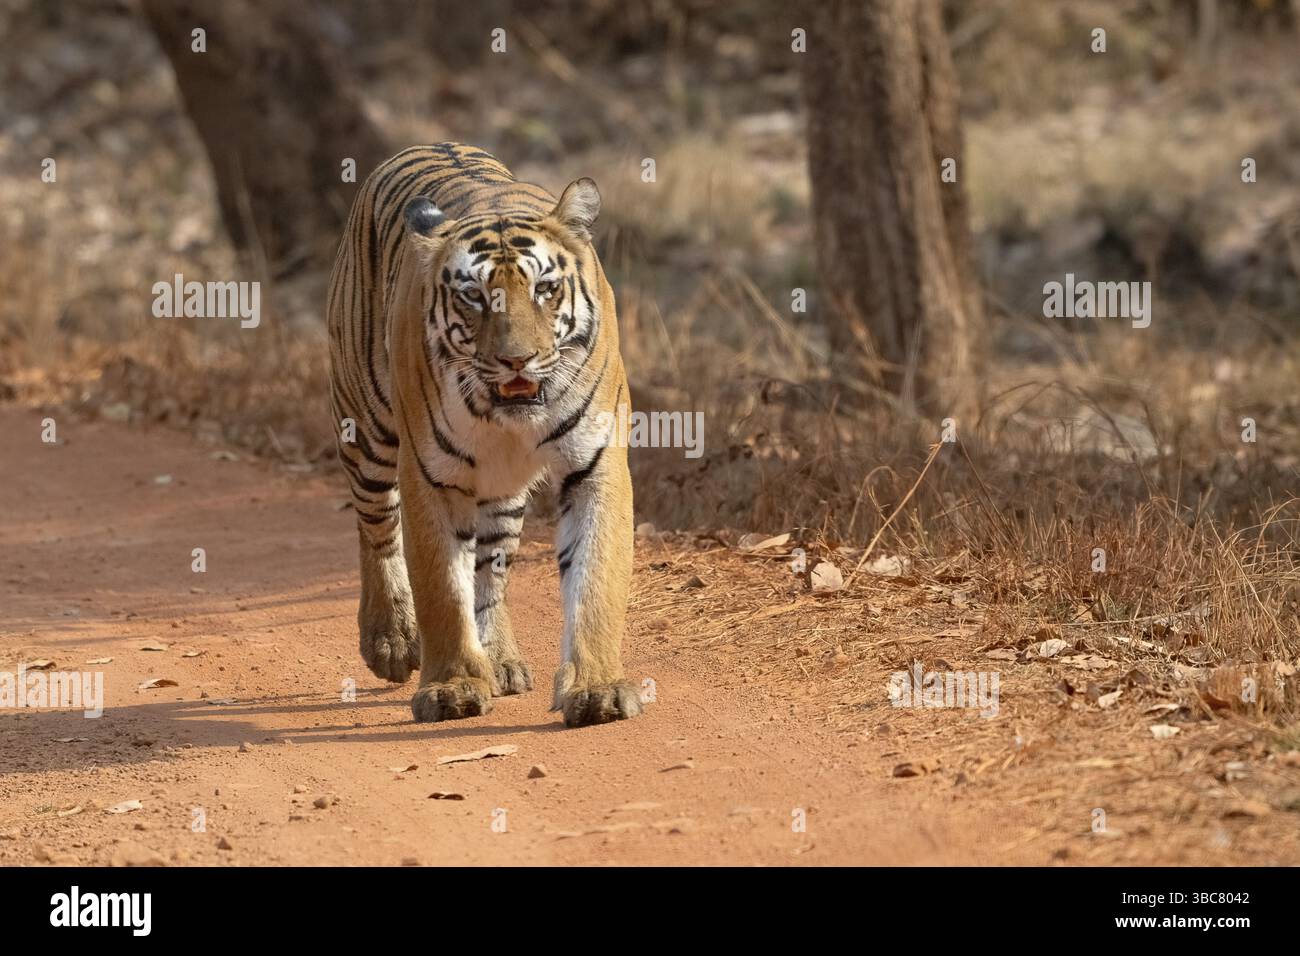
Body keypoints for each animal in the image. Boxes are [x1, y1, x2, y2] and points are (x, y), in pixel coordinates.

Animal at [326, 143, 642, 728]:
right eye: (473, 296)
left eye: (545, 288)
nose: (516, 359)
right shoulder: (429, 473)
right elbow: (440, 588)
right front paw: (451, 688)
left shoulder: (595, 464)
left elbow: (594, 581)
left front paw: (598, 690)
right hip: (367, 426)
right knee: (376, 525)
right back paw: (391, 638)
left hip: (502, 492)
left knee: (490, 567)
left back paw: (499, 658)